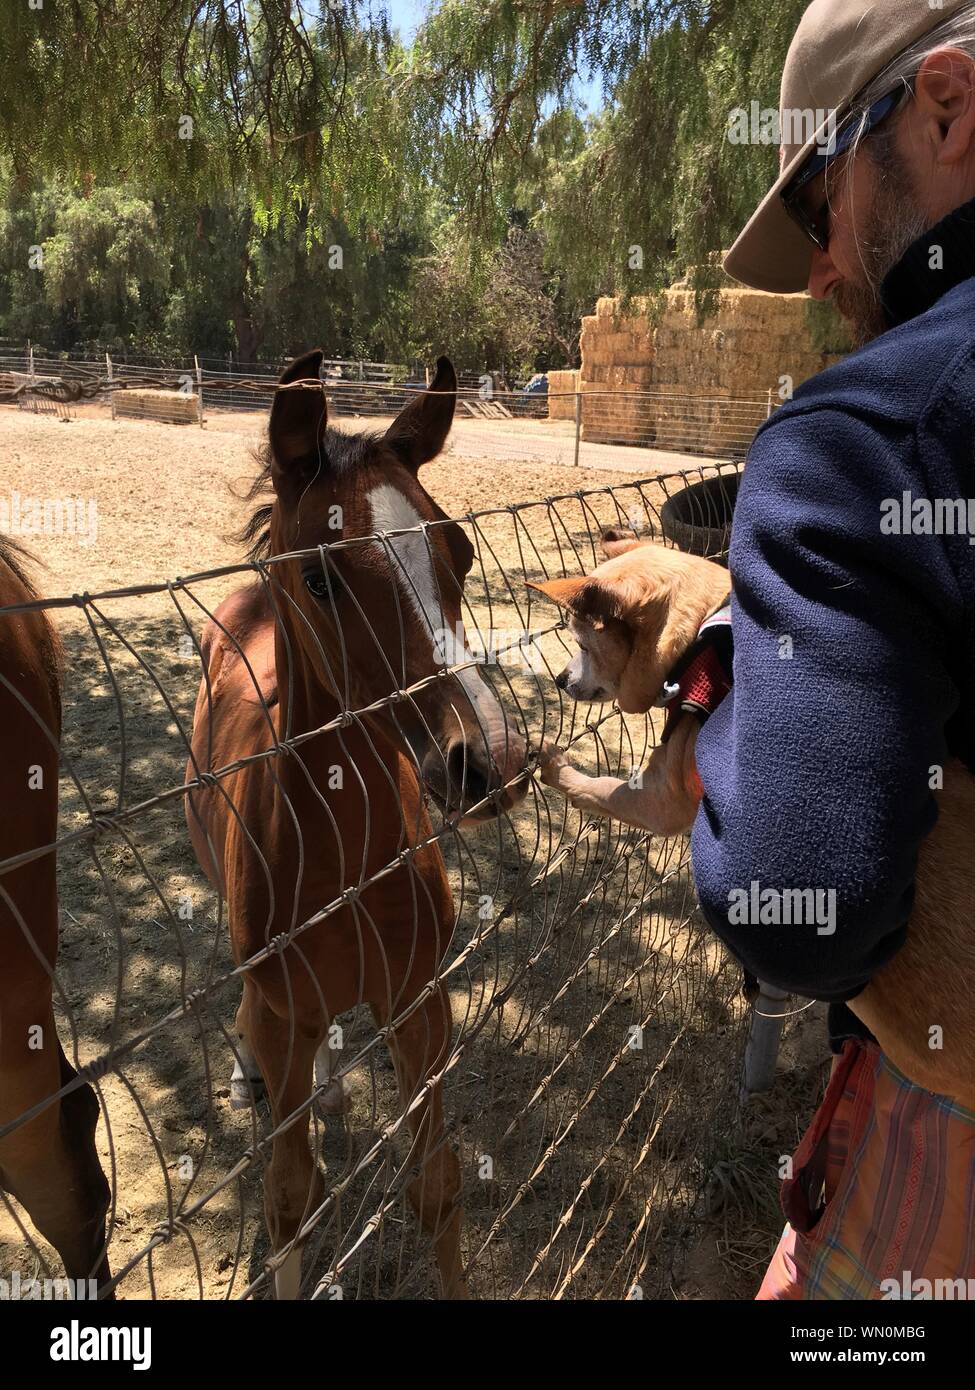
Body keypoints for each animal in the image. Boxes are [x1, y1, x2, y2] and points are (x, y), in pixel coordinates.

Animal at [185, 351, 529, 1299]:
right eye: (320, 575)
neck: (342, 860)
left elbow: (436, 1185)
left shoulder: (419, 999)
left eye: (459, 549)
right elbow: (288, 1201)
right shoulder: (282, 1017)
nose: (486, 758)